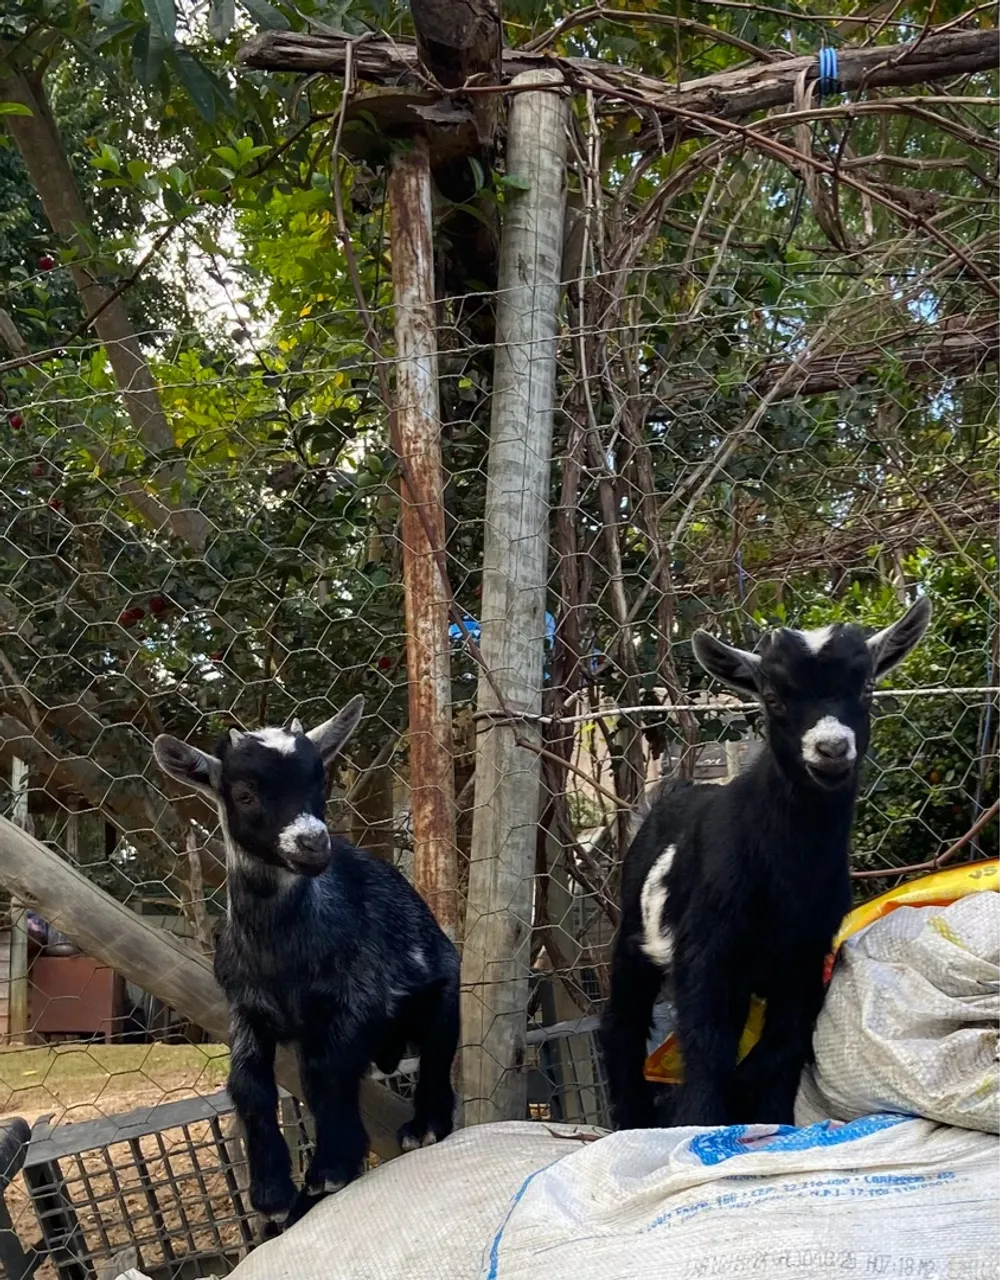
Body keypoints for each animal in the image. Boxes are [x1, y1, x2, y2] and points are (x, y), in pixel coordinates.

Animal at [153, 697, 459, 1229]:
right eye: (244, 793)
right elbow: (249, 1085)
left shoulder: (356, 998)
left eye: (322, 781)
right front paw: (273, 1192)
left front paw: (331, 1167)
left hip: (440, 989)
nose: (314, 844)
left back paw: (424, 1125)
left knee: (438, 1053)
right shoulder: (246, 1011)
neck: (283, 960)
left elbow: (324, 1071)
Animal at [600, 596, 932, 1131]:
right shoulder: (705, 950)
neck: (785, 875)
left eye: (866, 686)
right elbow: (707, 1044)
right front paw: (700, 1123)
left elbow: (783, 1045)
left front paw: (773, 1120)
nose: (831, 748)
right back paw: (632, 1119)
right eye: (773, 697)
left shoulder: (805, 955)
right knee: (623, 1023)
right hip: (634, 933)